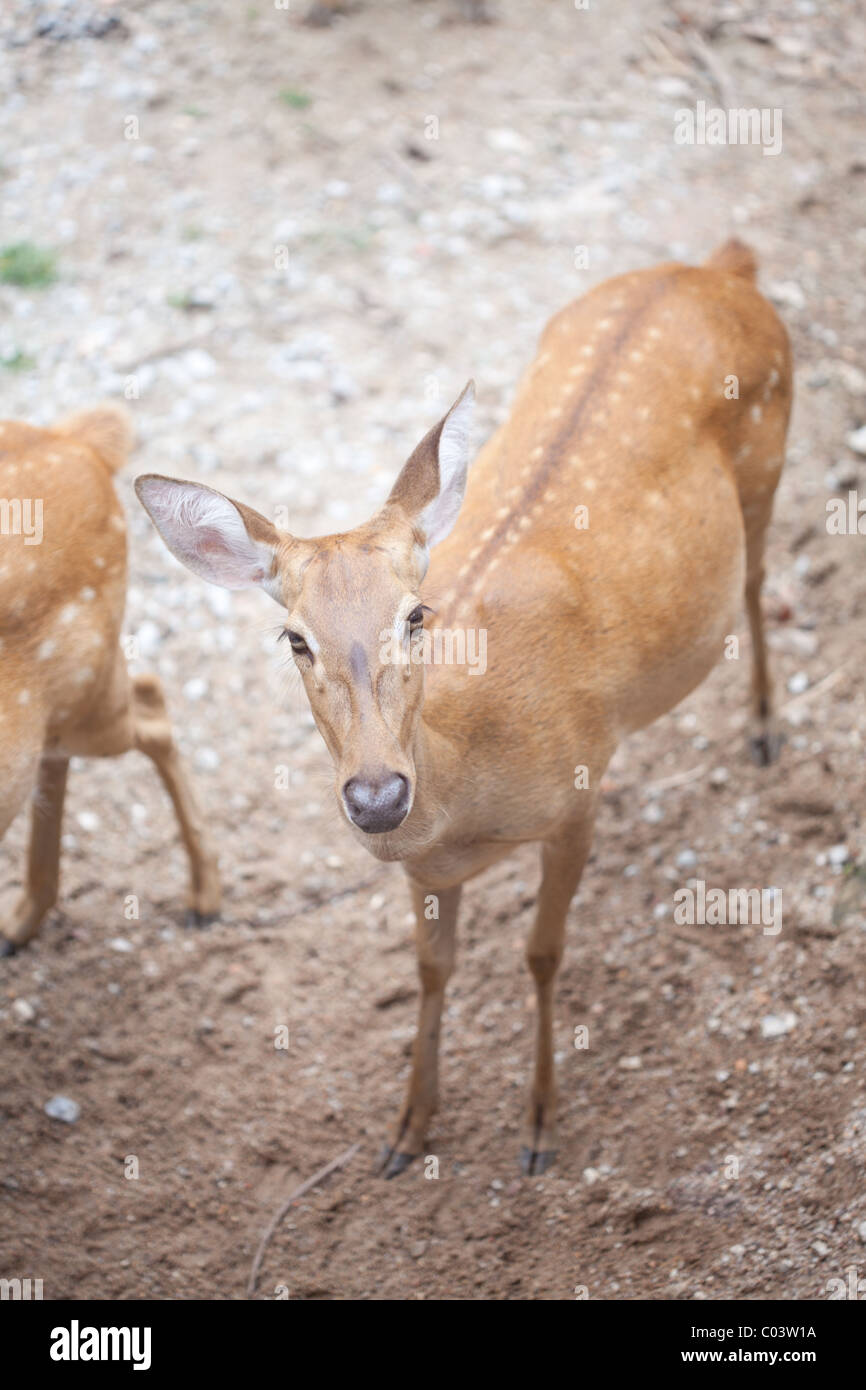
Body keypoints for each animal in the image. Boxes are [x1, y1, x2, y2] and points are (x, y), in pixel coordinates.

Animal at [135, 239, 792, 1175]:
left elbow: (542, 953)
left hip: (768, 468)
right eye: (294, 639)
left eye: (416, 614)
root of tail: (722, 268)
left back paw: (767, 729)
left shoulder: (579, 792)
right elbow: (431, 971)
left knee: (758, 582)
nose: (377, 795)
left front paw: (540, 1124)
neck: (468, 792)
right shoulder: (424, 871)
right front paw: (409, 1127)